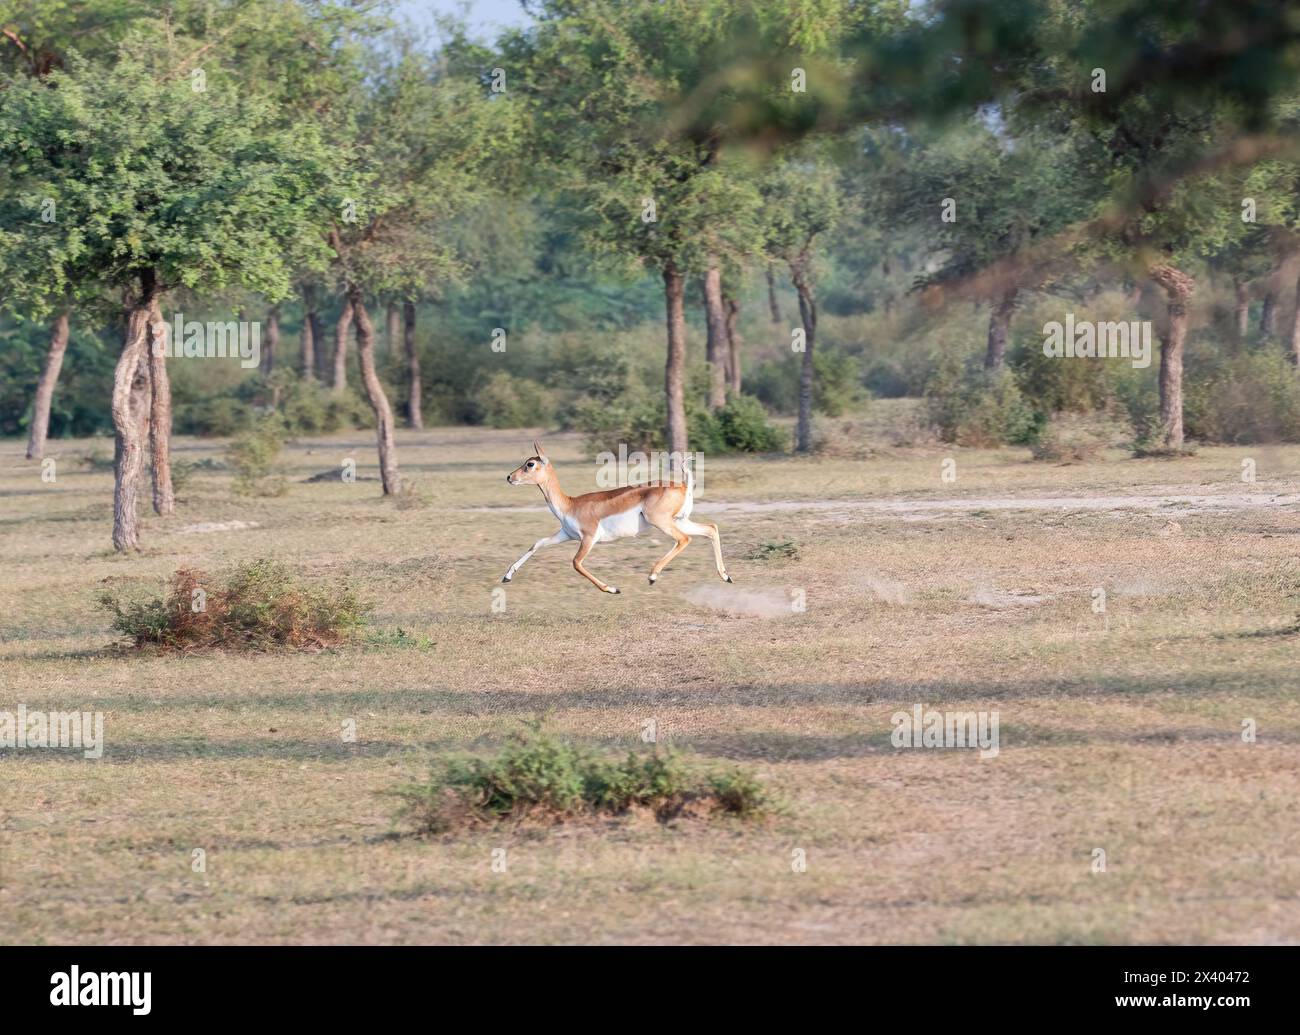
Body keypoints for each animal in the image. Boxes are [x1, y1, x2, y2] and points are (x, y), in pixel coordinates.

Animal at [502, 441, 733, 594]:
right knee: (711, 528)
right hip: (680, 521)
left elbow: (576, 563)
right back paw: (726, 576)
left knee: (684, 539)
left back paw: (652, 577)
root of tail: (684, 486)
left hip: (662, 522)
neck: (570, 505)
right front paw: (506, 576)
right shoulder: (566, 535)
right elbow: (538, 543)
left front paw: (612, 589)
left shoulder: (589, 538)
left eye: (530, 464)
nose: (509, 477)